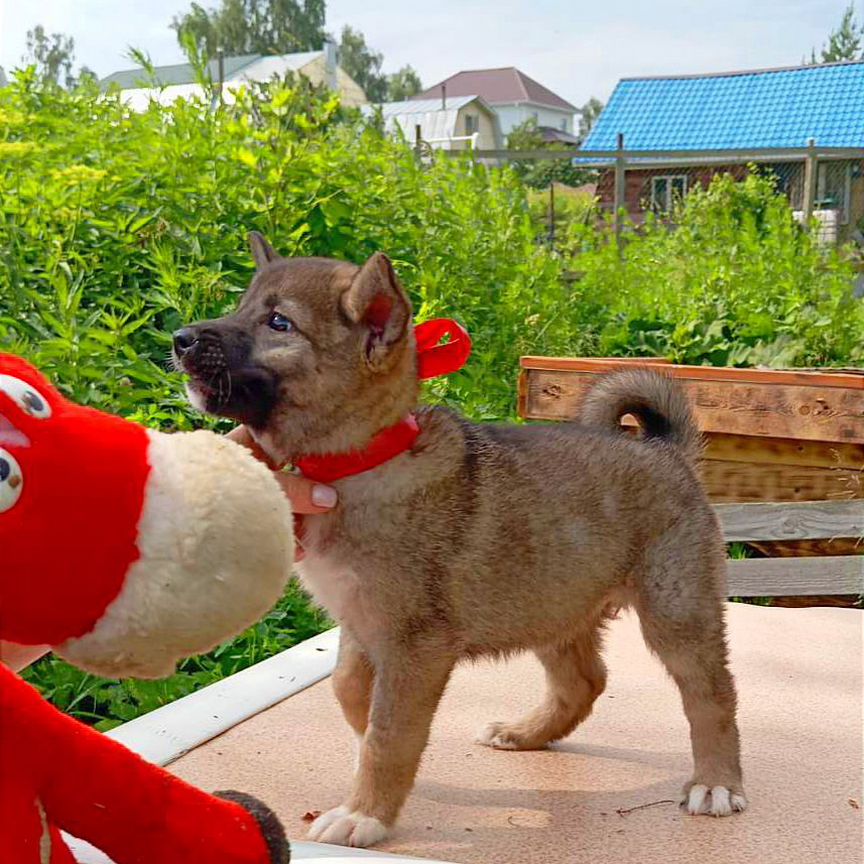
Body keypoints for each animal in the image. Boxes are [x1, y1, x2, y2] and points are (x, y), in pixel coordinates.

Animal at [174, 233, 744, 848]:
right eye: (240, 308)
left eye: (278, 322)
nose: (180, 339)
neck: (359, 461)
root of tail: (666, 451)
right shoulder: (362, 620)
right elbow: (351, 690)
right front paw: (363, 746)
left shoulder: (415, 643)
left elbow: (391, 734)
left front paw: (365, 813)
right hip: (552, 602)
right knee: (585, 681)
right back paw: (525, 732)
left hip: (674, 612)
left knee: (712, 695)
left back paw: (716, 783)